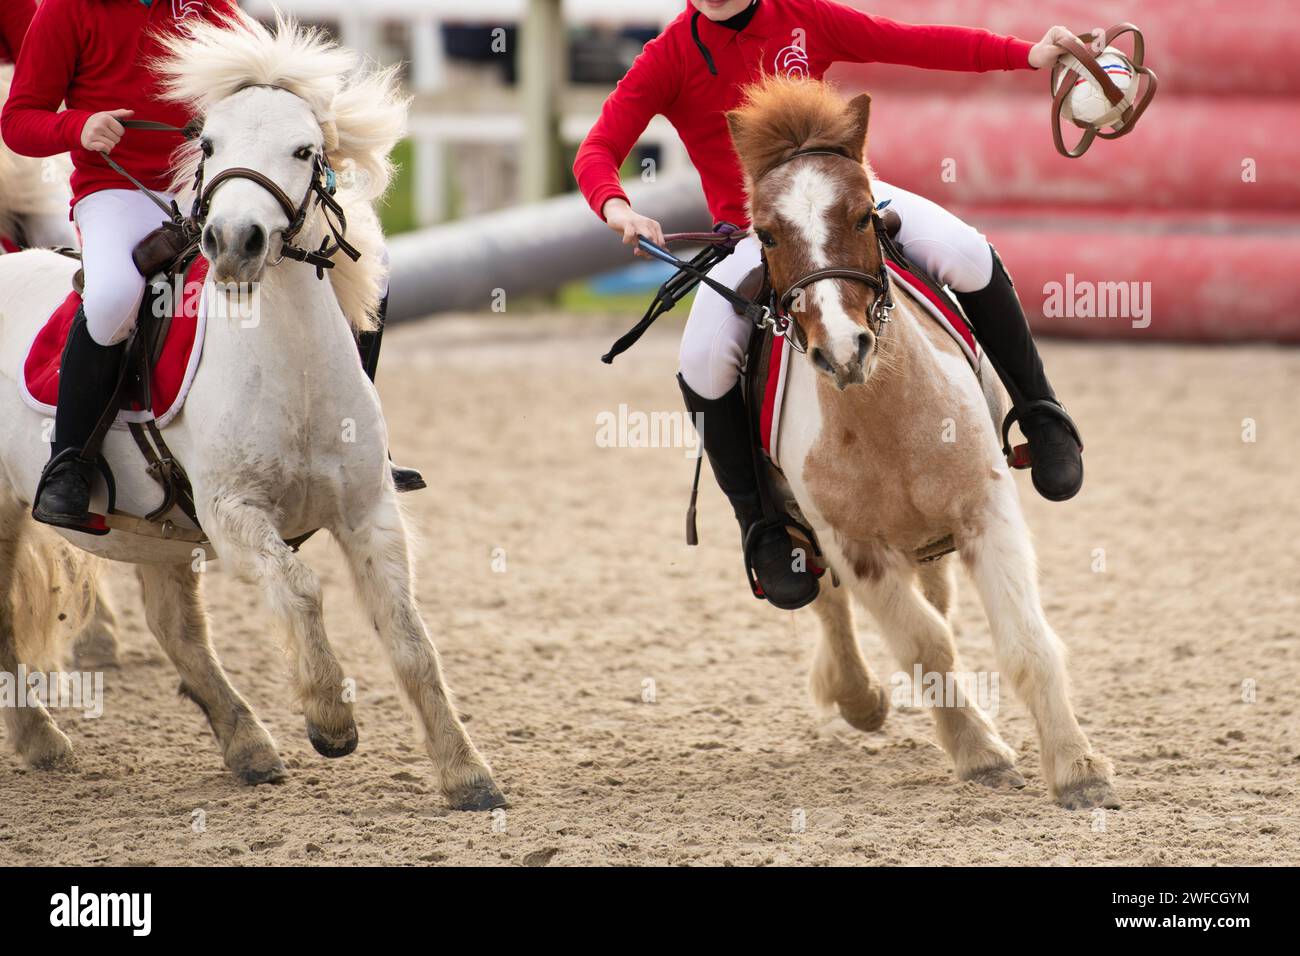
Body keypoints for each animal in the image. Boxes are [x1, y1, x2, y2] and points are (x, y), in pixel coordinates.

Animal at [0, 12, 504, 811]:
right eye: (208, 144)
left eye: (305, 149)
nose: (234, 244)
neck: (290, 361)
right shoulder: (233, 513)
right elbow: (300, 587)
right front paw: (331, 719)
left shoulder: (369, 510)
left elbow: (409, 639)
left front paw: (467, 774)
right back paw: (42, 740)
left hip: (155, 537)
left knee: (177, 630)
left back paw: (248, 747)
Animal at [726, 76, 1117, 810]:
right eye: (766, 233)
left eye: (860, 216)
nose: (842, 351)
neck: (882, 414)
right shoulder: (852, 544)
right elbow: (921, 645)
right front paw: (980, 753)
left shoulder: (984, 510)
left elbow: (1025, 641)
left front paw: (1077, 768)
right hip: (800, 527)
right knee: (829, 603)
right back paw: (856, 695)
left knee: (933, 595)